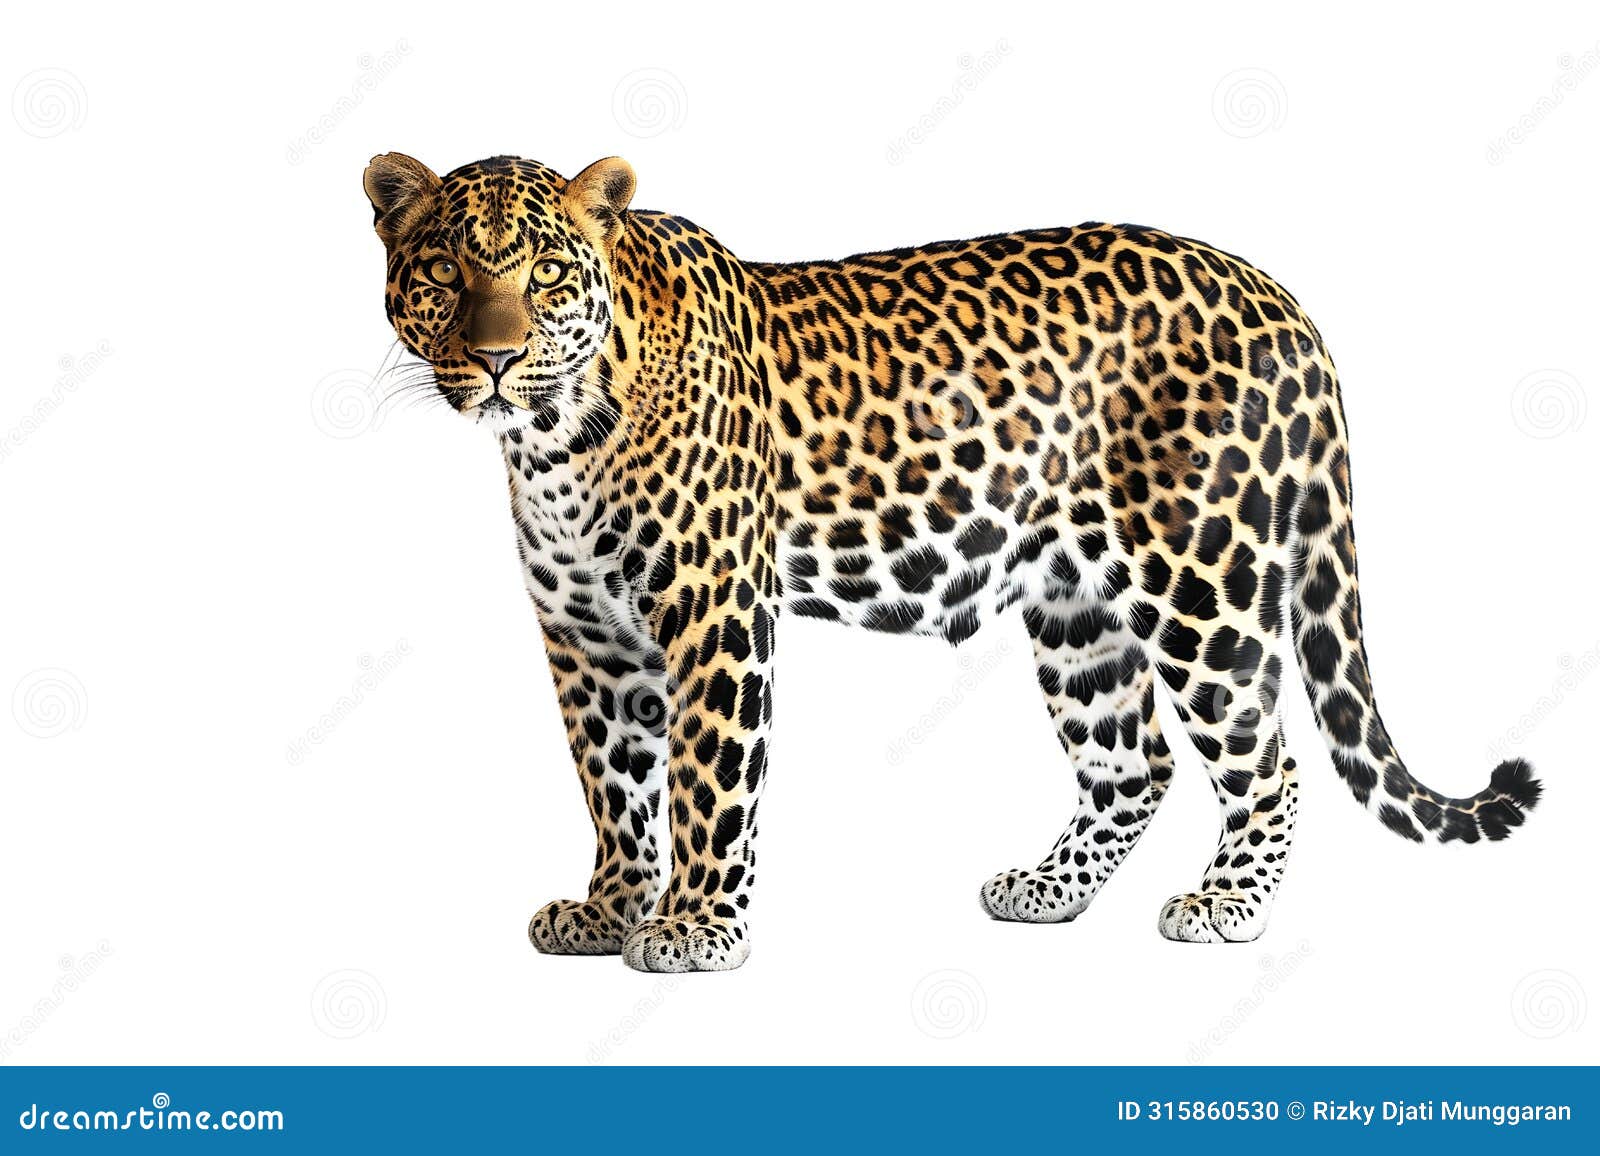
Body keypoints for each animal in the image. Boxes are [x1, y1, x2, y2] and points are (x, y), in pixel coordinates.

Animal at [361, 152, 1542, 971]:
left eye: (547, 275)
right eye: (444, 273)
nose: (498, 358)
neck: (553, 442)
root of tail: (1282, 298)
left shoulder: (716, 616)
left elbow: (706, 776)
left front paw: (695, 927)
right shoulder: (587, 638)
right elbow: (612, 782)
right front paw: (610, 911)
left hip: (1202, 575)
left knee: (1269, 759)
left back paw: (1227, 905)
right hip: (1077, 604)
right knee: (1135, 762)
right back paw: (1046, 891)